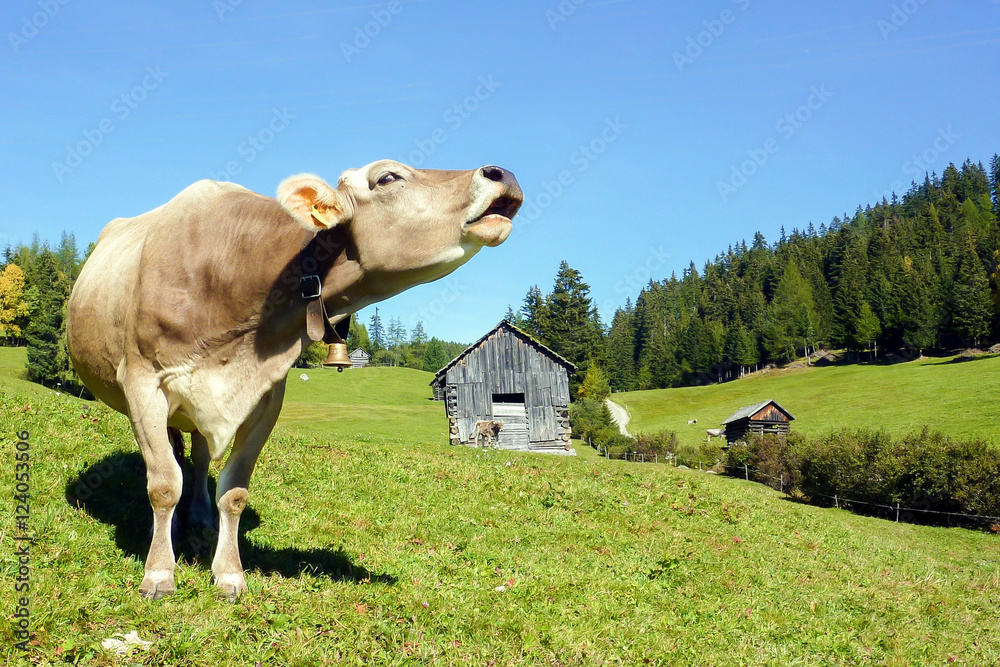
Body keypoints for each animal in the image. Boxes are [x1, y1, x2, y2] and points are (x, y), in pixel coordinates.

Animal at [66, 160, 523, 600]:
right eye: (387, 177)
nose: (502, 173)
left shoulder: (267, 397)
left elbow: (234, 492)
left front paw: (229, 574)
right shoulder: (142, 380)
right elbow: (163, 484)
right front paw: (159, 573)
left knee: (198, 456)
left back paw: (198, 515)